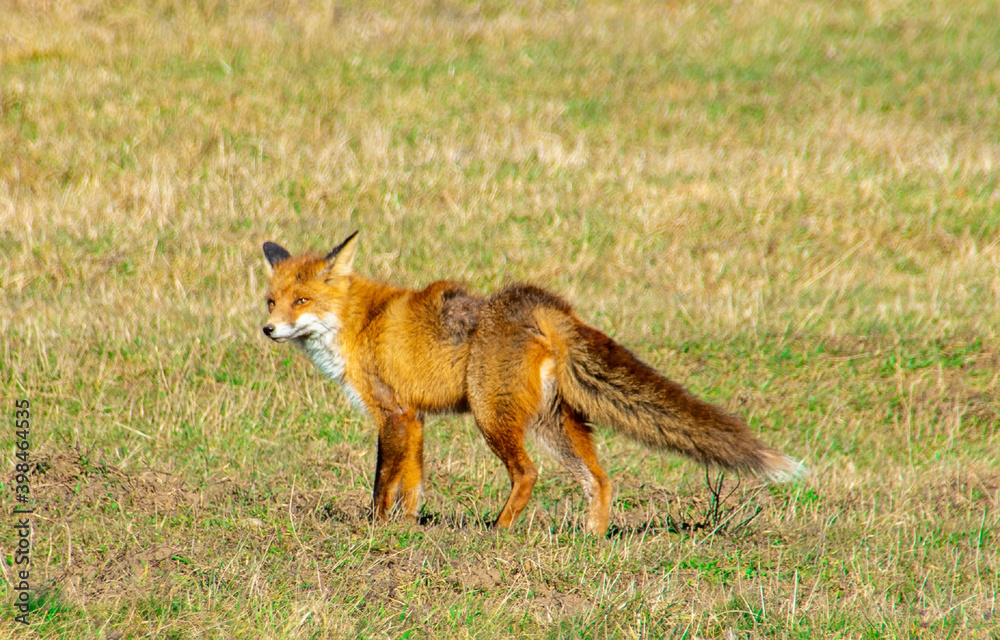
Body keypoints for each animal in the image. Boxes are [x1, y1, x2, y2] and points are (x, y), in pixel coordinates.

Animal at [261, 231, 803, 535]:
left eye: (302, 301)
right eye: (271, 300)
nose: (268, 329)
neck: (359, 324)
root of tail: (539, 305)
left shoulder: (391, 414)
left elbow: (381, 484)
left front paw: (374, 530)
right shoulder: (413, 418)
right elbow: (412, 484)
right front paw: (409, 530)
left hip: (493, 416)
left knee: (527, 475)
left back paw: (497, 532)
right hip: (552, 423)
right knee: (599, 478)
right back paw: (592, 541)